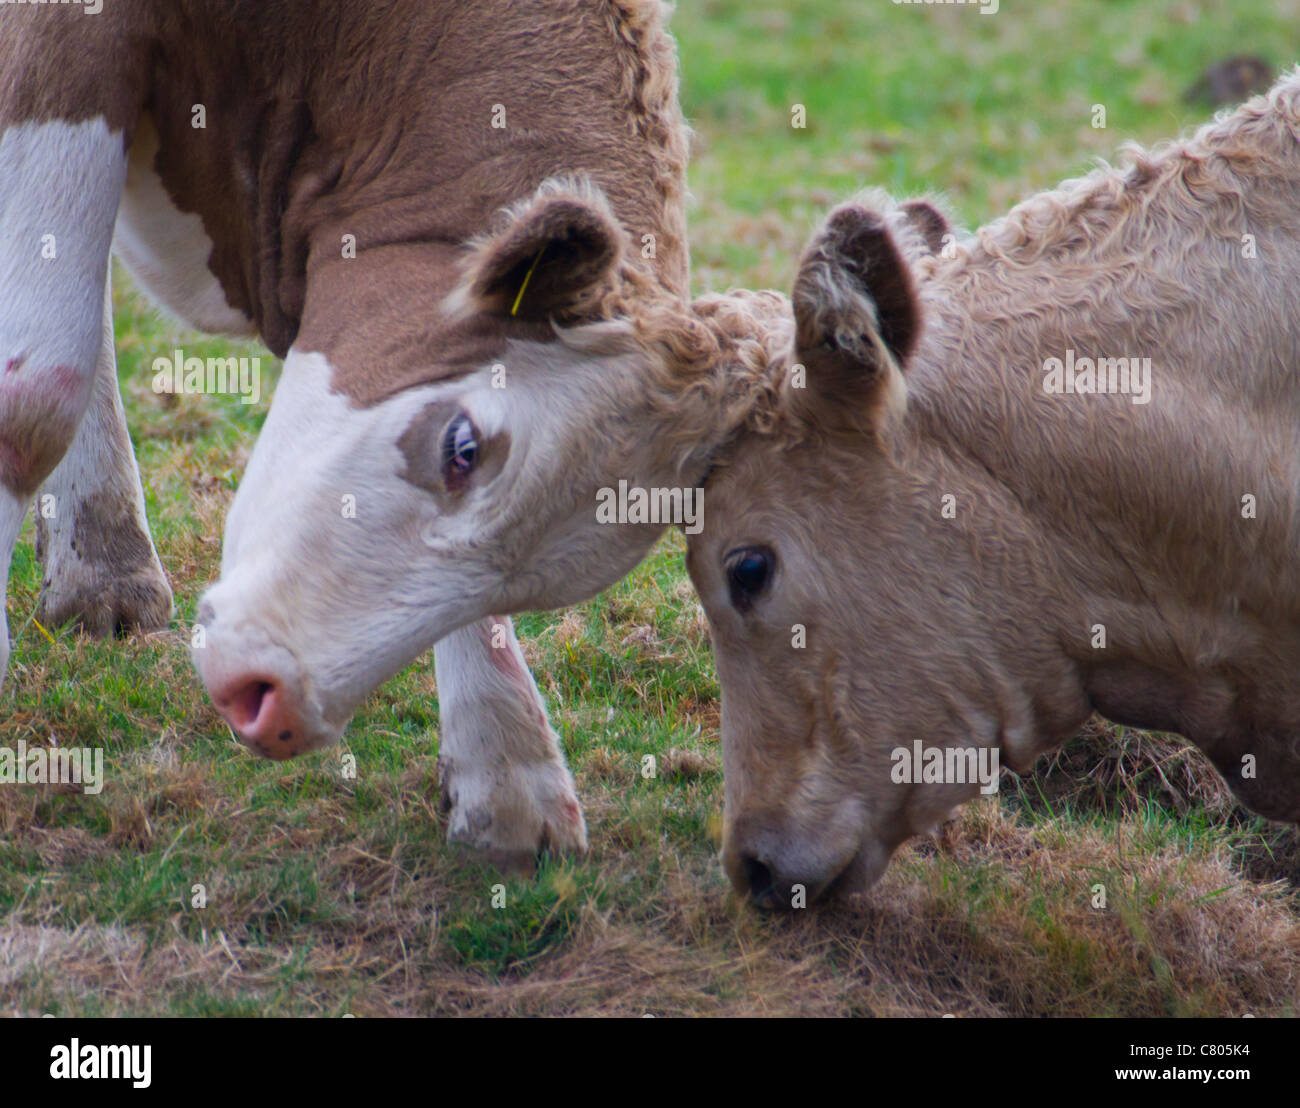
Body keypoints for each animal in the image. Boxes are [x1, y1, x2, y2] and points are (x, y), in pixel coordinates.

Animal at [0, 0, 723, 866]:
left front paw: (505, 768)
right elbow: (37, 389)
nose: (272, 707)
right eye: (461, 448)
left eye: (537, 588)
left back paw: (103, 567)